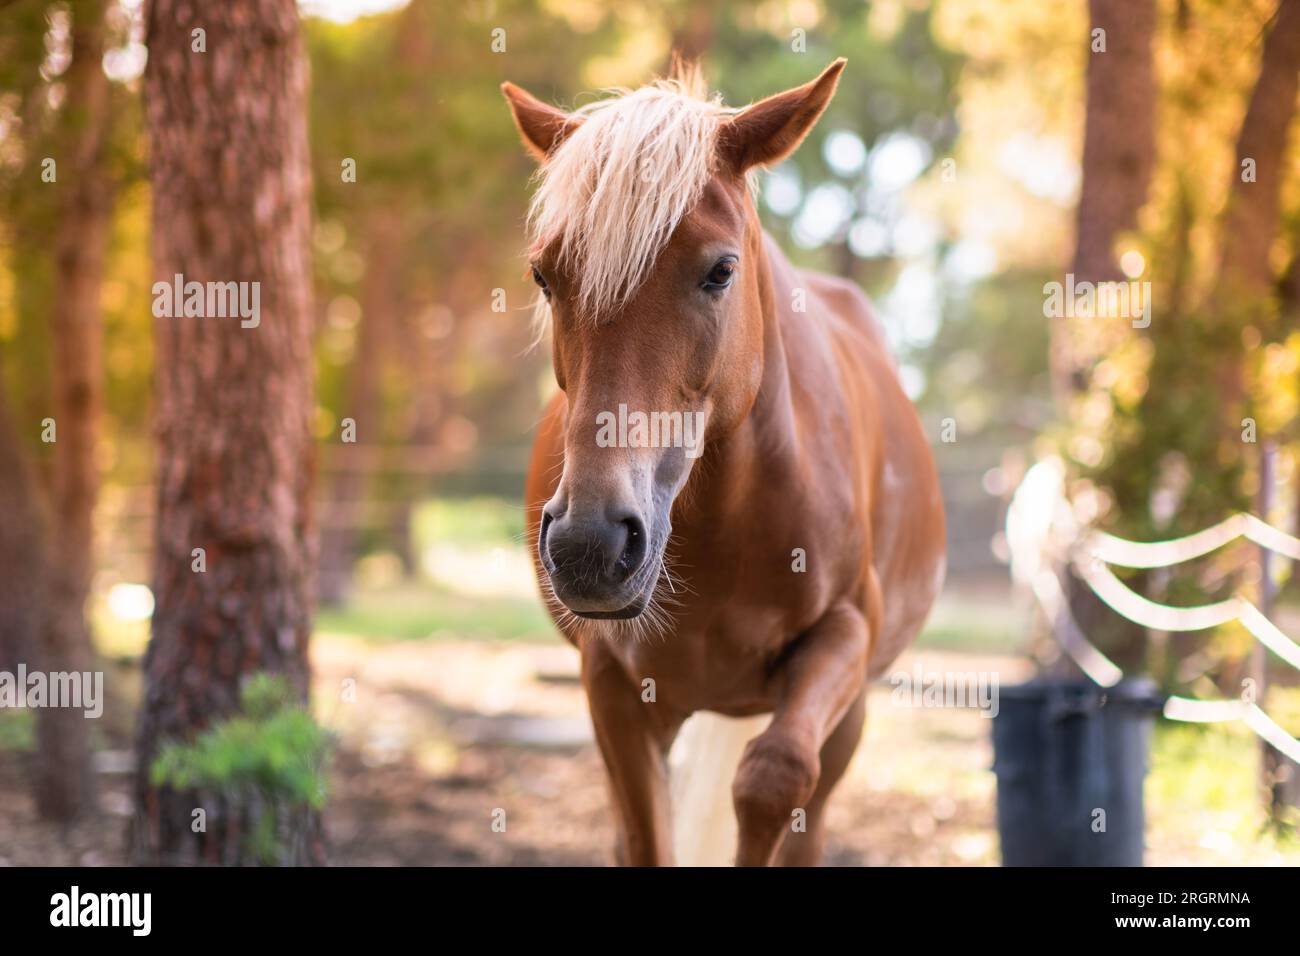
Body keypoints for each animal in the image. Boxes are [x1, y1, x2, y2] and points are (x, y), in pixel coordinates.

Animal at [502, 59, 946, 866]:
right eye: (545, 277)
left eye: (720, 271)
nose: (590, 543)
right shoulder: (613, 687)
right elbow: (646, 838)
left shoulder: (842, 635)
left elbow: (774, 776)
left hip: (850, 716)